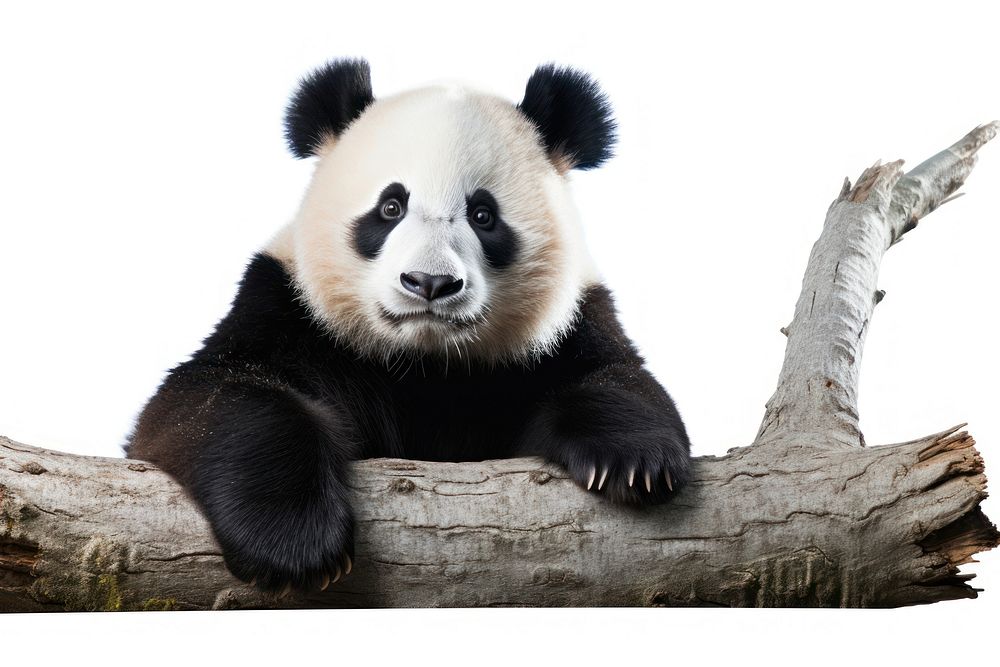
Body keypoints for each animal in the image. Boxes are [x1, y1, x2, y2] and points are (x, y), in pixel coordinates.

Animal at [126, 59, 692, 592]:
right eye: (390, 206)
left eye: (483, 215)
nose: (430, 282)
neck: (423, 362)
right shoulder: (286, 309)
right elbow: (212, 397)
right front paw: (293, 543)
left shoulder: (567, 326)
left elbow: (613, 376)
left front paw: (633, 460)